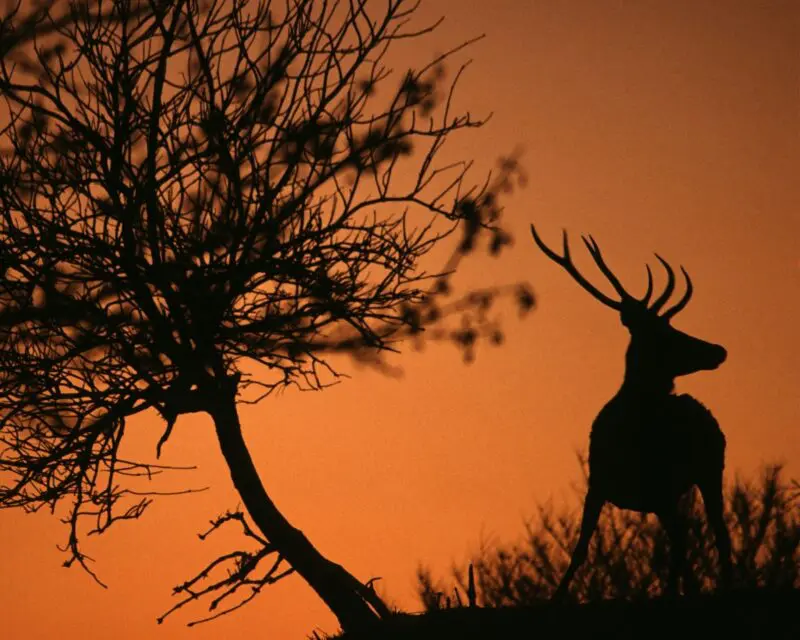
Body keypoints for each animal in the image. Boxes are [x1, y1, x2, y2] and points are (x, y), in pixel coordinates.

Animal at [529, 222, 733, 601]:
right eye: (666, 334)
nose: (718, 350)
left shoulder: (662, 489)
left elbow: (677, 548)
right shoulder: (600, 484)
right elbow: (580, 547)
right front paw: (556, 595)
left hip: (709, 472)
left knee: (715, 535)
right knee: (704, 538)